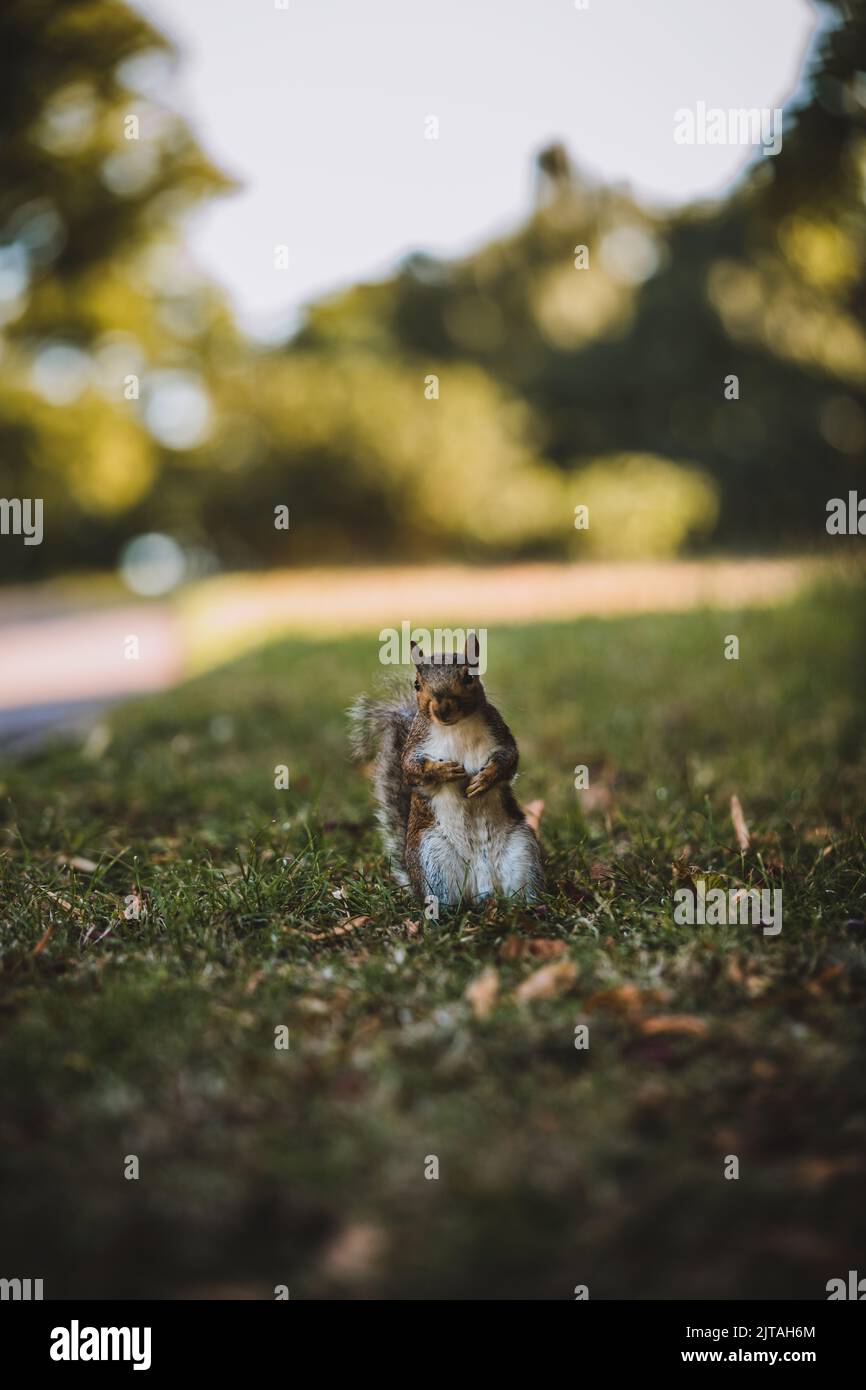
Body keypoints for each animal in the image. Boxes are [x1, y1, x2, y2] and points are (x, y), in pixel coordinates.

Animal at [349, 634, 544, 907]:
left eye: (469, 677)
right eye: (417, 685)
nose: (441, 708)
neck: (457, 727)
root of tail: (483, 887)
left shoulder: (500, 734)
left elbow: (509, 761)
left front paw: (485, 779)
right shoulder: (416, 744)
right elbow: (410, 769)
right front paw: (444, 772)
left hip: (522, 850)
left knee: (524, 889)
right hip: (432, 858)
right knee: (443, 898)